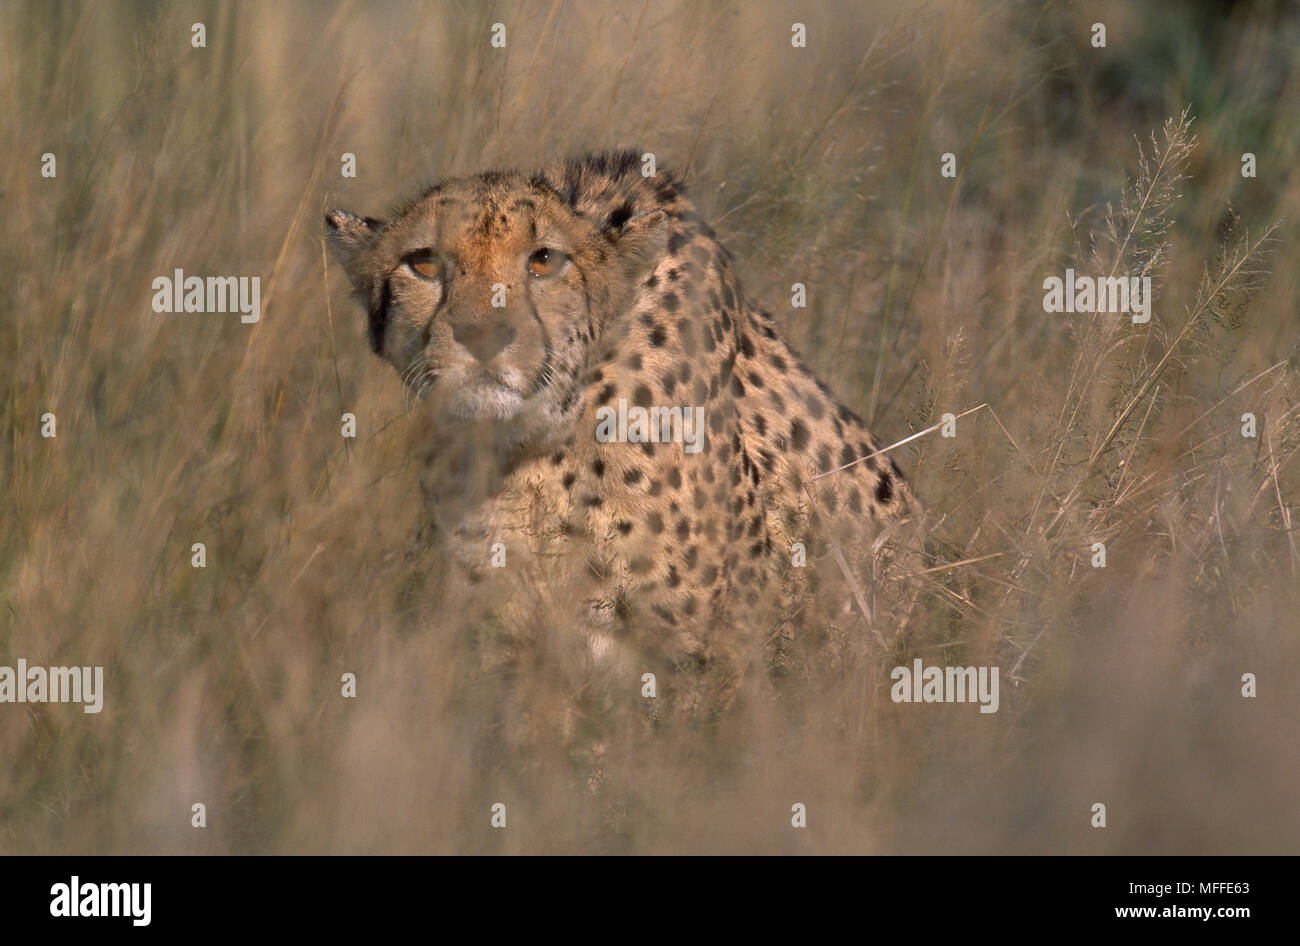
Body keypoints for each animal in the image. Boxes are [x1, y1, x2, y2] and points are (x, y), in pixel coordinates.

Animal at [325, 150, 923, 730]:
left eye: (544, 260)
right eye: (424, 263)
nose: (484, 334)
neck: (533, 449)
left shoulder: (707, 658)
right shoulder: (510, 644)